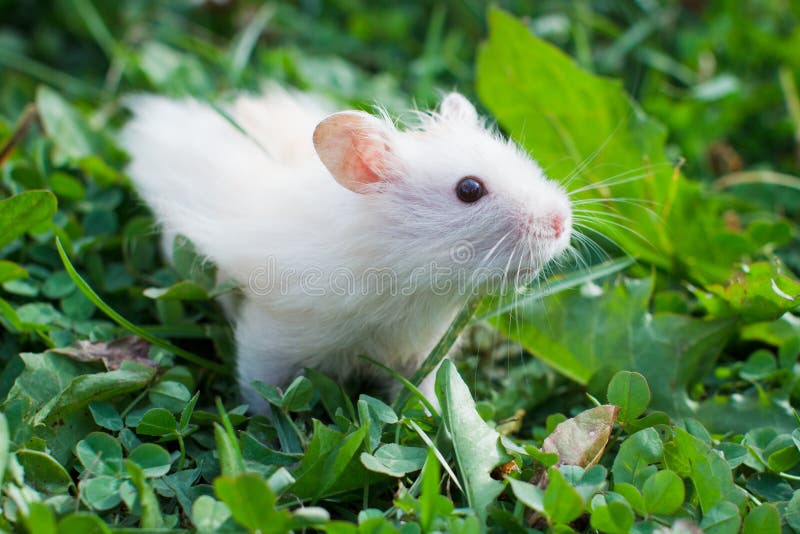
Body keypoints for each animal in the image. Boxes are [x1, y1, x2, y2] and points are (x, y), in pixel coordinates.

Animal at [119, 87, 572, 414]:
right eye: (469, 189)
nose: (561, 222)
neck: (408, 286)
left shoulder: (422, 353)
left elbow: (425, 393)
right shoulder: (271, 338)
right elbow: (261, 391)